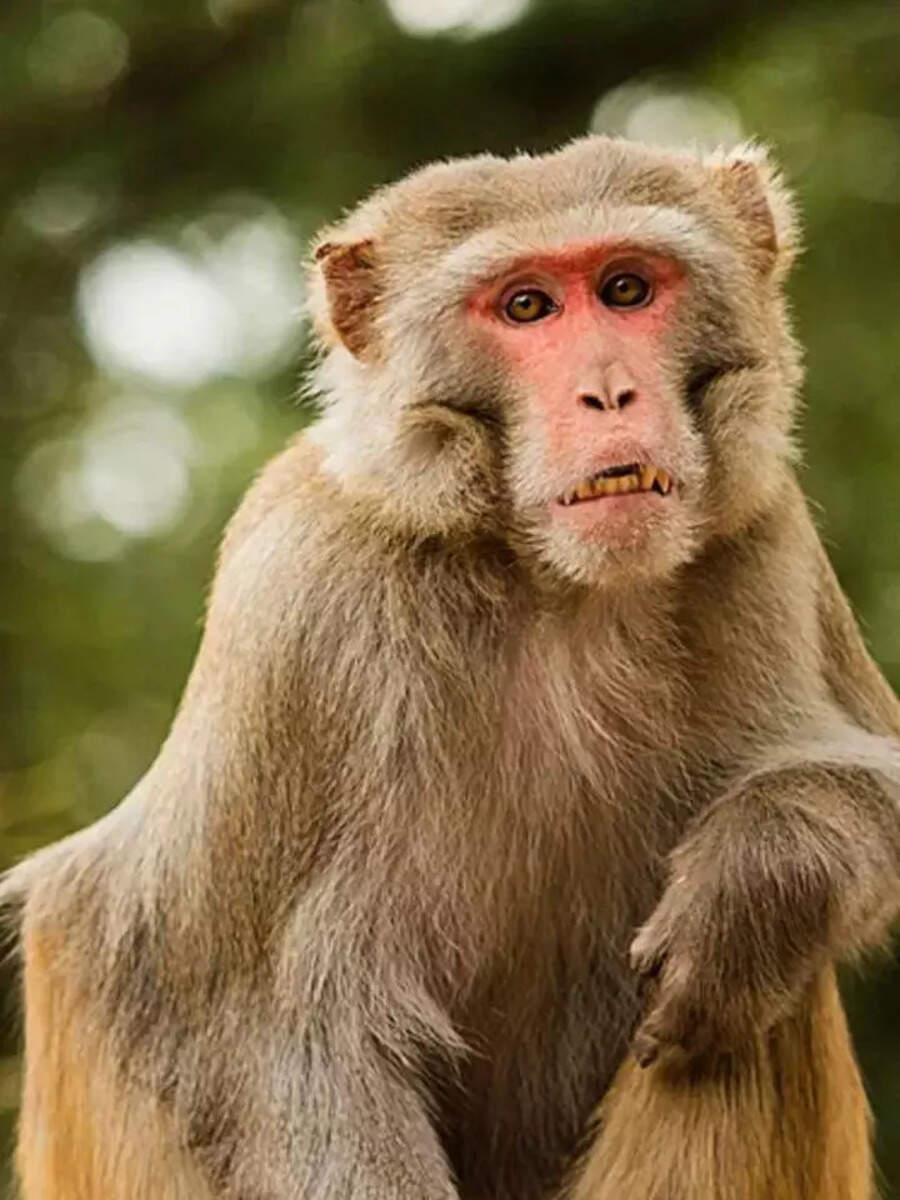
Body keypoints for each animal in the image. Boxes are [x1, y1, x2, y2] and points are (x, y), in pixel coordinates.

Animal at [2, 134, 899, 1200]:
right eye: (527, 308)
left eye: (627, 289)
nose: (610, 392)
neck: (554, 587)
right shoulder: (304, 598)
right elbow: (261, 1022)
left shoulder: (765, 535)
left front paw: (766, 876)